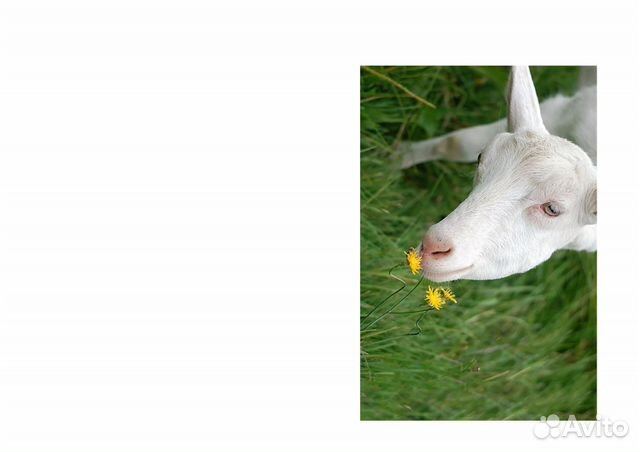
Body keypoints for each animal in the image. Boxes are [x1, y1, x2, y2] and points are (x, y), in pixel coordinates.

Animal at [400, 66, 597, 282]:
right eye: (480, 158)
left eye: (552, 209)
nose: (432, 246)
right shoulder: (563, 109)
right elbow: (456, 143)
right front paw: (396, 156)